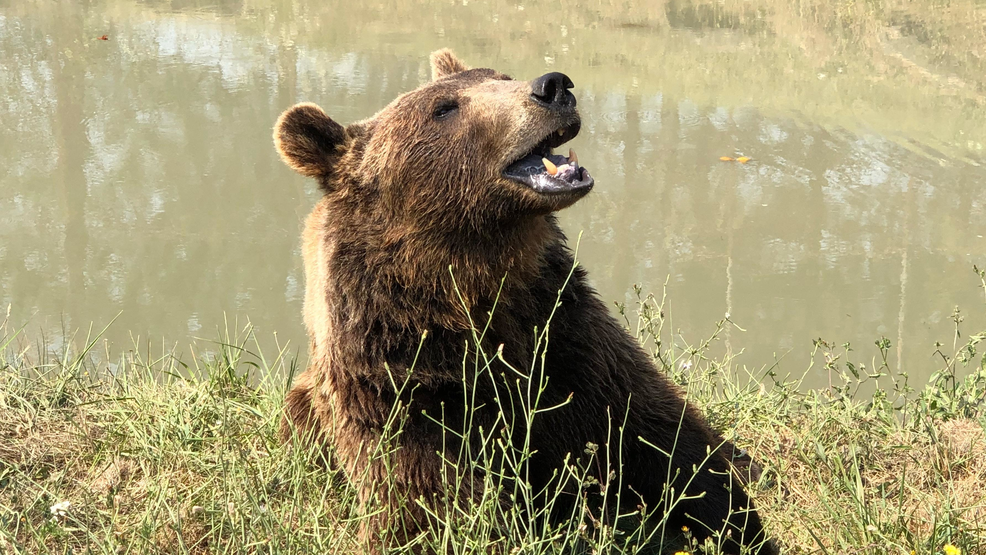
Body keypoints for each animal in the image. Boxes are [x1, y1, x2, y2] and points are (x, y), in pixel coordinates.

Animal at [274, 49, 777, 555]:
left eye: (501, 75)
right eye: (444, 109)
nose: (552, 87)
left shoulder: (562, 330)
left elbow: (656, 432)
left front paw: (733, 519)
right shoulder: (396, 371)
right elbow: (426, 492)